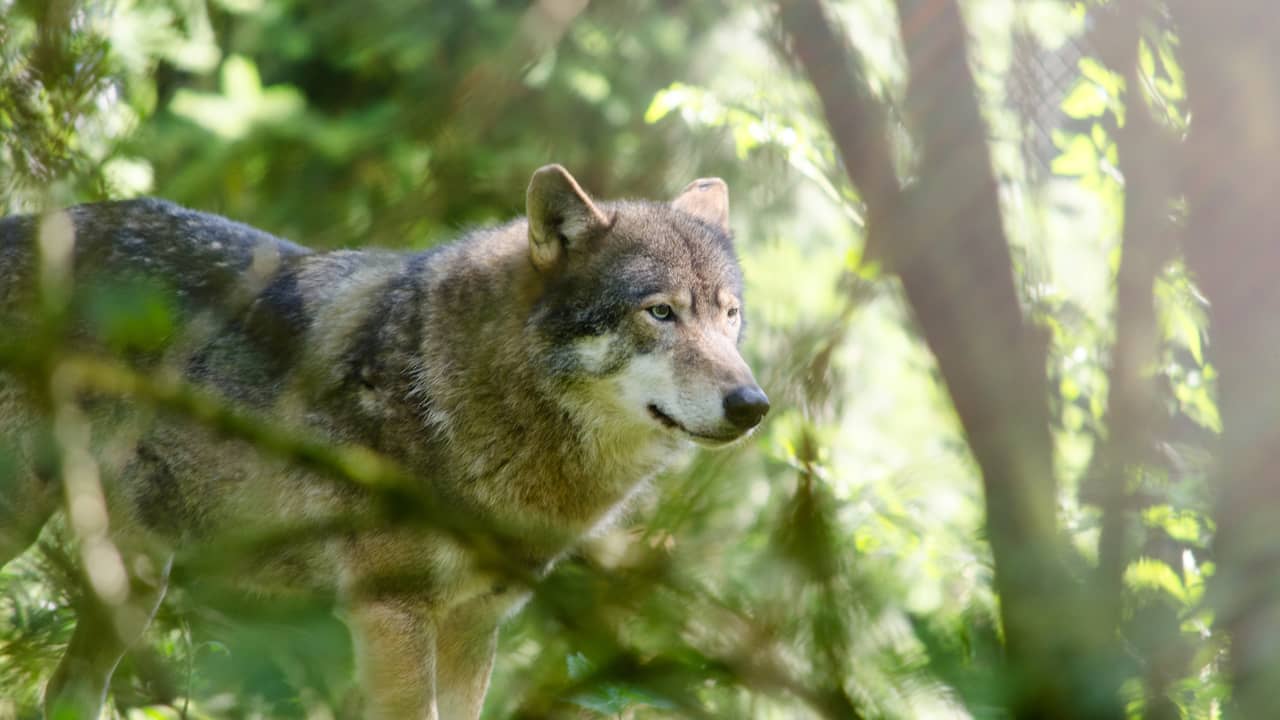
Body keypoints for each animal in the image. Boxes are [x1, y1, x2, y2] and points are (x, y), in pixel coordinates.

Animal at [0, 165, 768, 719]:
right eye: (660, 313)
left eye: (729, 316)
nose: (753, 405)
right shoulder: (391, 615)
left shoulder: (474, 625)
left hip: (134, 580)